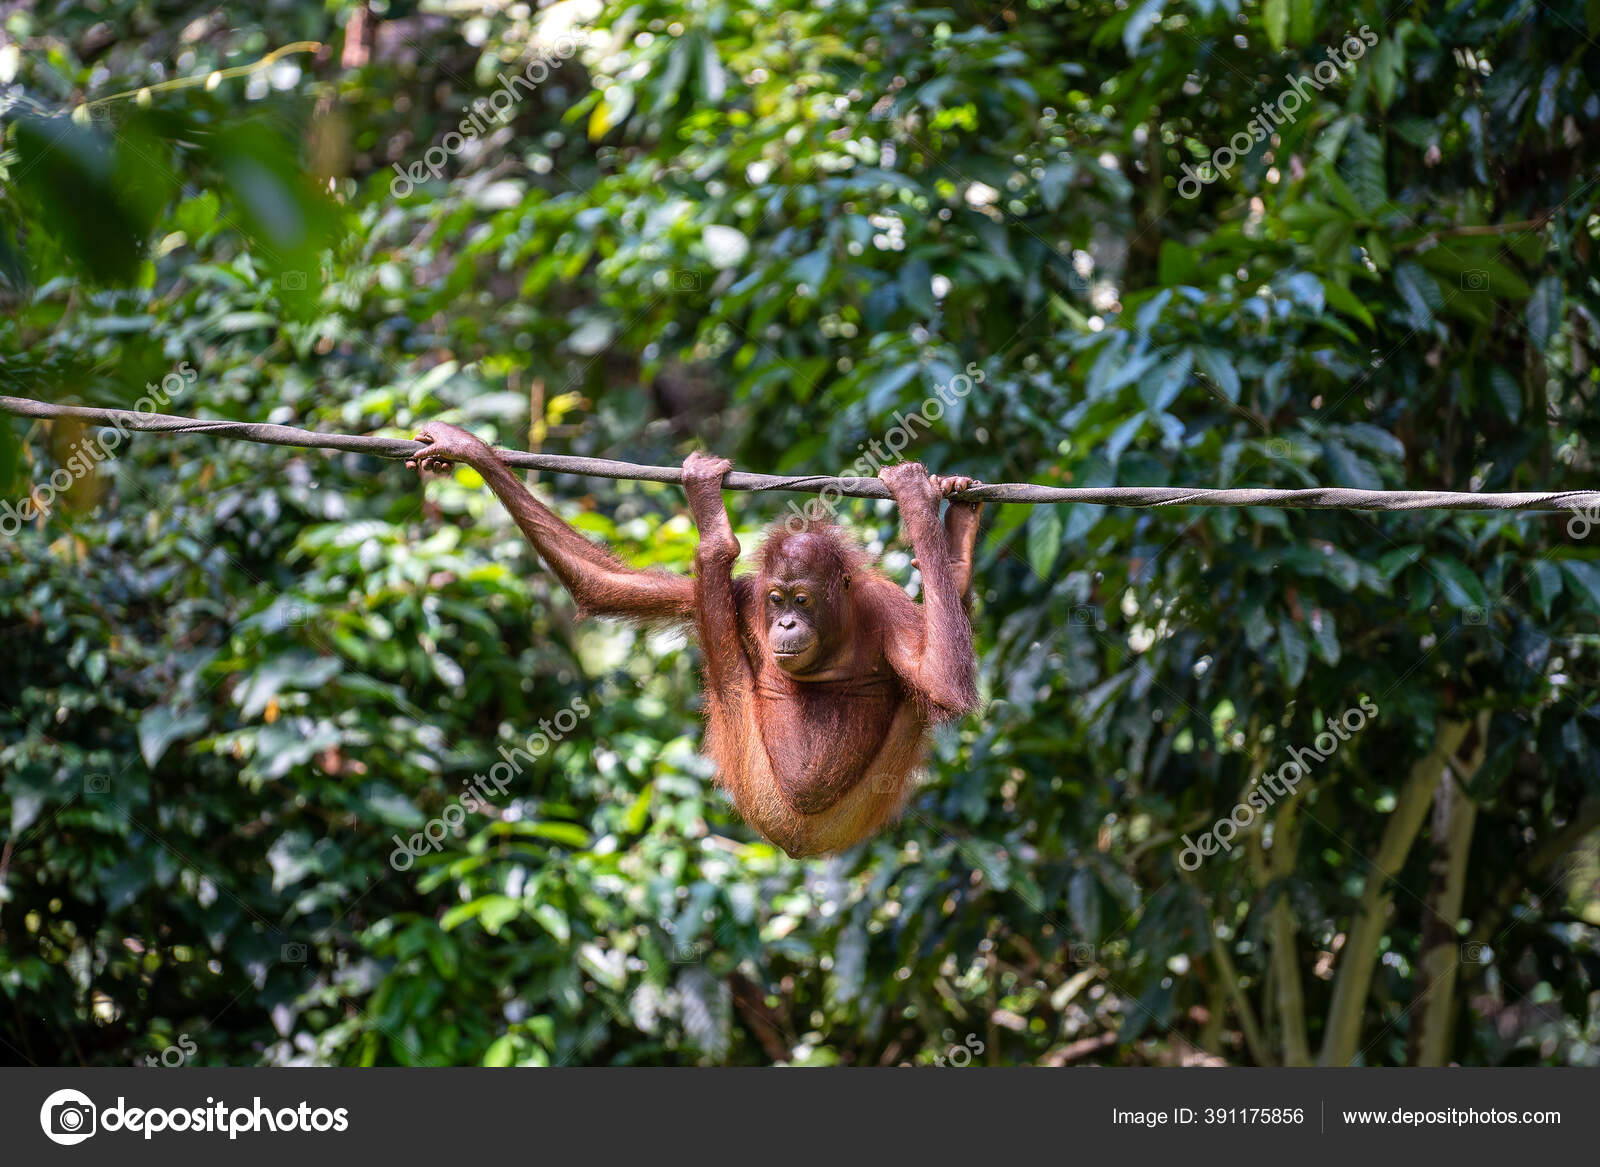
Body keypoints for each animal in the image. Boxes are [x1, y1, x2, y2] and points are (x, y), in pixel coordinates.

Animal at [408, 422, 982, 857]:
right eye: (777, 599)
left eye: (802, 600)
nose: (785, 625)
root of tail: (797, 843)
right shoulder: (748, 595)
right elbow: (605, 586)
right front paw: (467, 448)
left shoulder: (889, 610)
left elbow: (942, 681)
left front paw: (915, 498)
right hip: (754, 777)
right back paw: (716, 536)